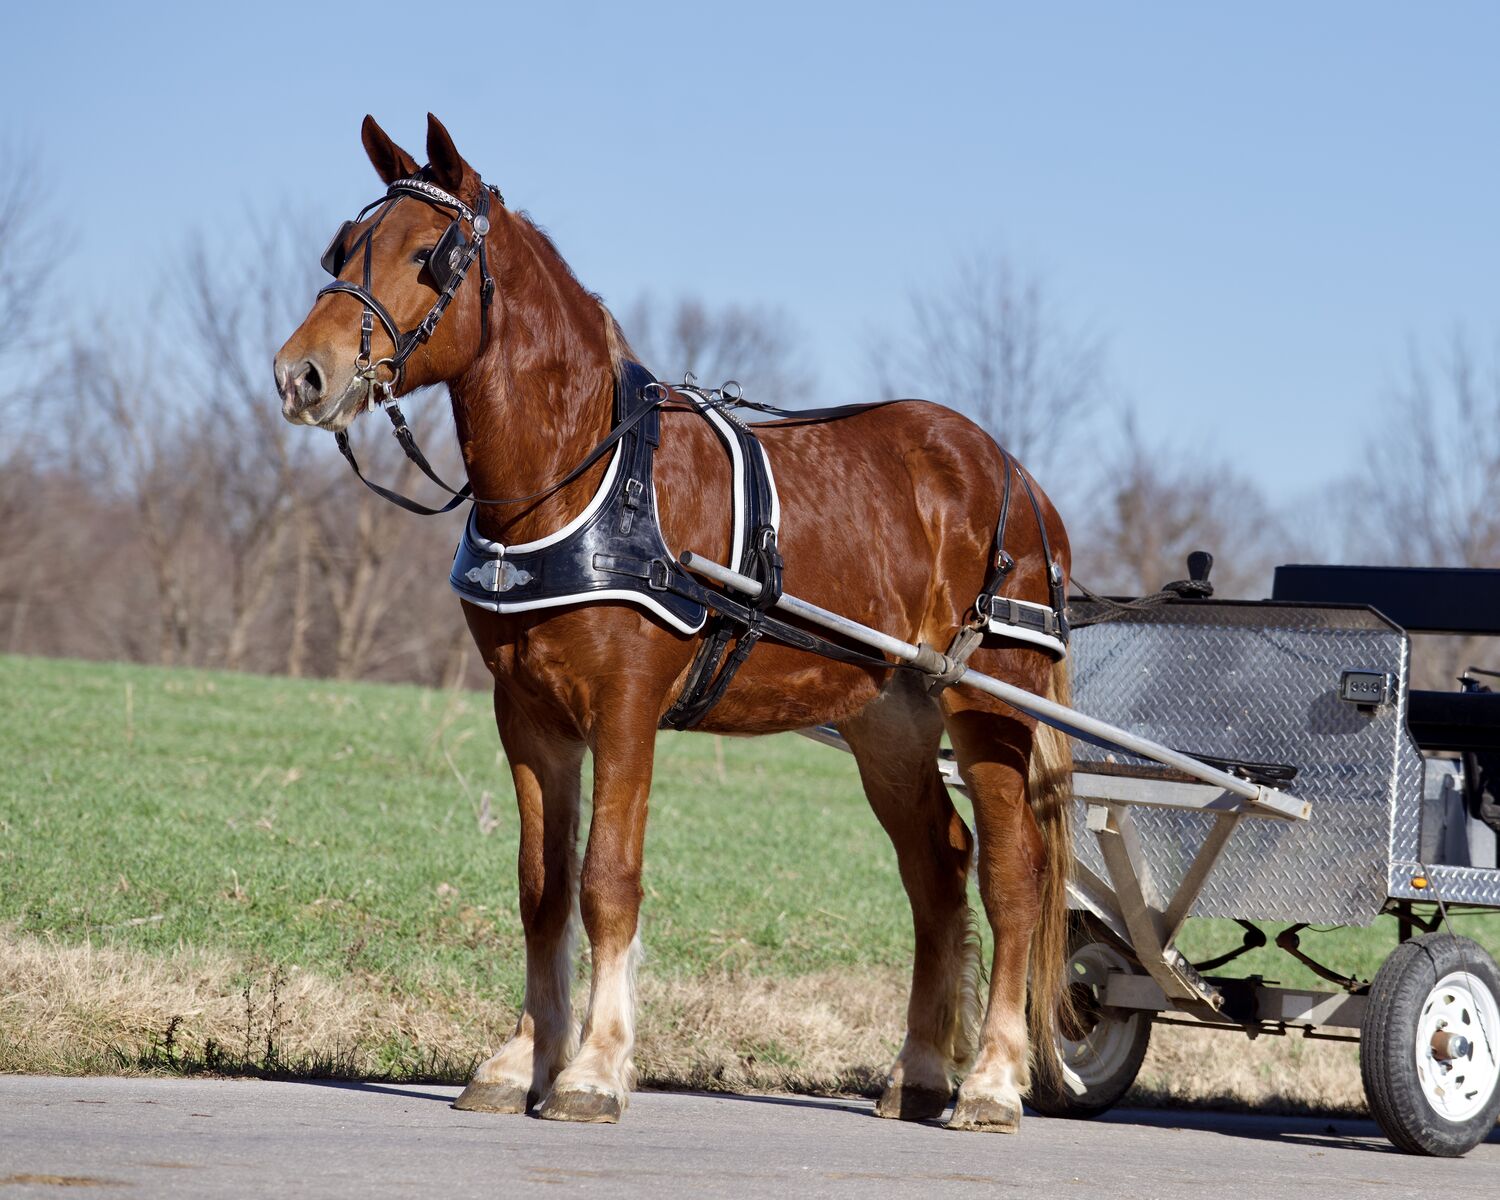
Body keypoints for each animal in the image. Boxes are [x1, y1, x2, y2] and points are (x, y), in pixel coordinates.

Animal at [274, 113, 1074, 1133]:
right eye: (342, 249)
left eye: (427, 255)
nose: (300, 373)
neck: (582, 470)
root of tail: (1015, 475)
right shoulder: (528, 715)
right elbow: (541, 888)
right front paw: (520, 1062)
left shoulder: (625, 708)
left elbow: (607, 881)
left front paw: (593, 1070)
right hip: (889, 723)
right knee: (939, 871)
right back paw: (923, 1072)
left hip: (993, 705)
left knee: (1013, 876)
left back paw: (993, 1082)